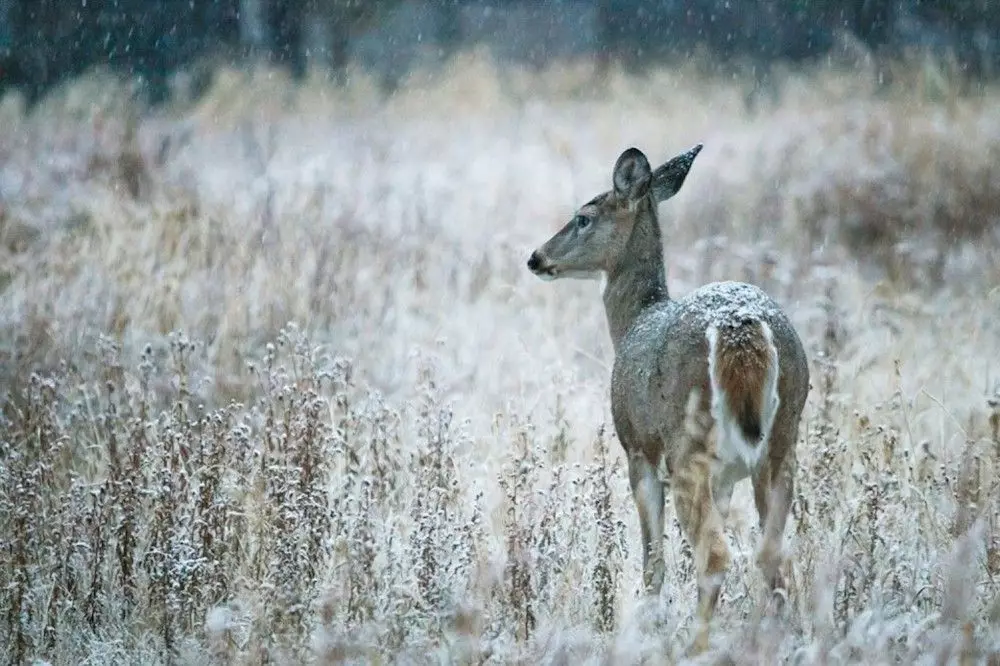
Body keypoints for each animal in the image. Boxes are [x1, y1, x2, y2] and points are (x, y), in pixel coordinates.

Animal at [528, 144, 808, 648]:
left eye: (582, 217)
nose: (536, 257)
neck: (635, 320)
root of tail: (743, 330)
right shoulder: (725, 479)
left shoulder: (637, 452)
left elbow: (652, 561)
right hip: (782, 441)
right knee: (773, 555)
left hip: (687, 448)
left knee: (716, 554)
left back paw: (697, 646)